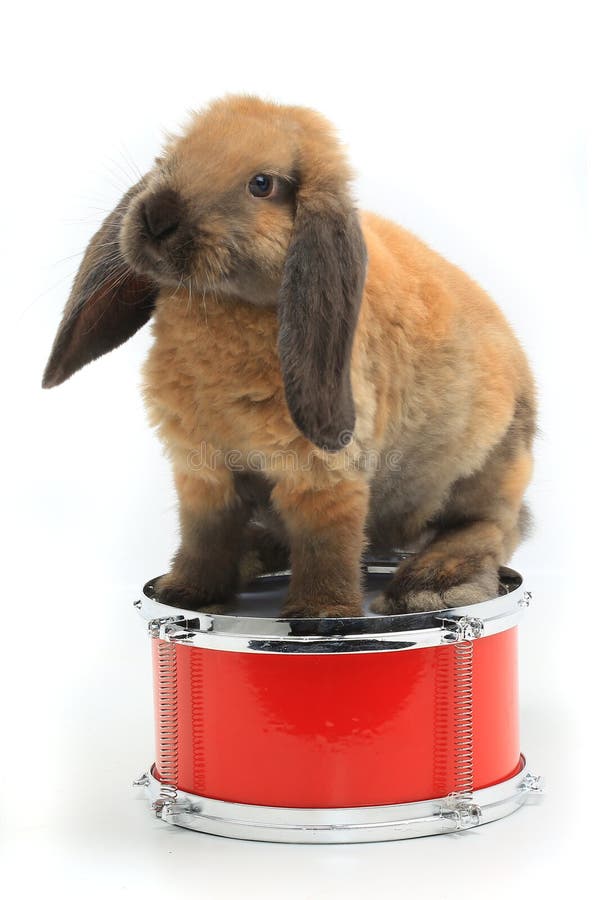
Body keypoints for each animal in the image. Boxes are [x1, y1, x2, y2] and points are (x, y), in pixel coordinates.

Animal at [43, 95, 536, 618]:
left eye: (263, 184)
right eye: (172, 155)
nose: (157, 217)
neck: (221, 308)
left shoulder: (323, 473)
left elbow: (326, 542)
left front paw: (320, 614)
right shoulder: (203, 472)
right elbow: (204, 536)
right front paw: (185, 592)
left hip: (485, 472)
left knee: (492, 526)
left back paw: (431, 584)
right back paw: (253, 554)